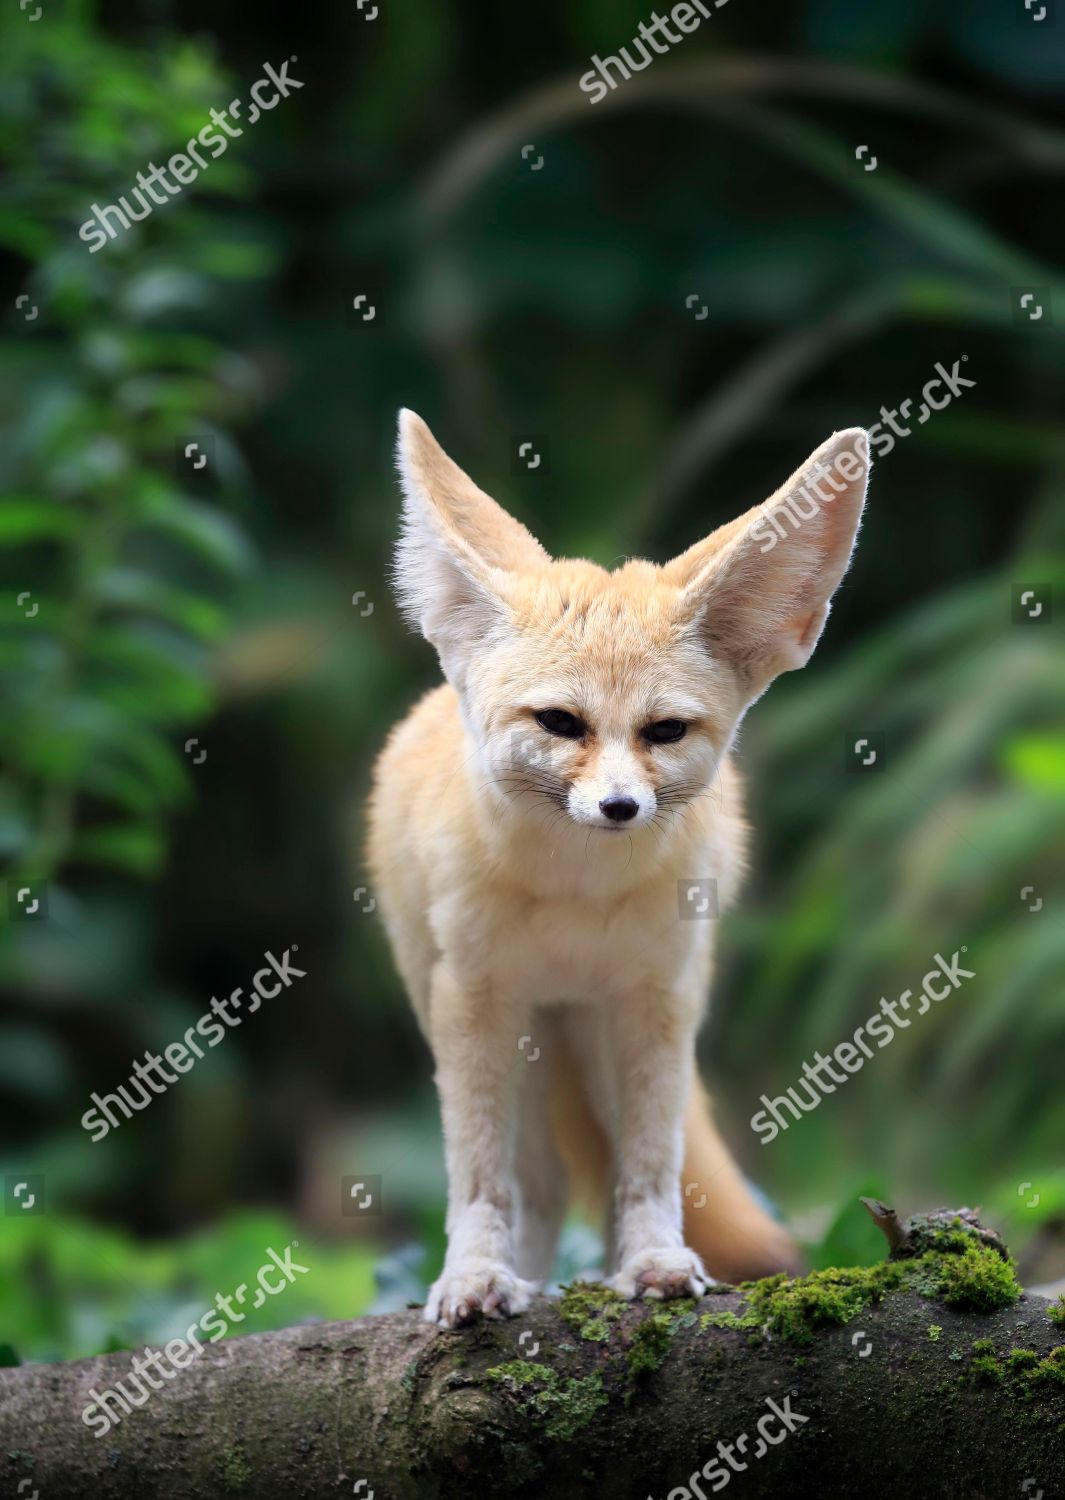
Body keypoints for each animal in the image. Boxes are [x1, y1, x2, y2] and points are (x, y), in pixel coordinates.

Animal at [367, 409, 871, 1327]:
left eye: (662, 732)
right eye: (560, 723)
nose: (618, 808)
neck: (576, 898)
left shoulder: (655, 997)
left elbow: (649, 1164)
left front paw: (654, 1264)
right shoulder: (475, 1002)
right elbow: (481, 1179)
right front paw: (473, 1277)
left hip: (595, 1033)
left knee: (593, 1175)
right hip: (504, 1026)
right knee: (539, 1181)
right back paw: (526, 1278)